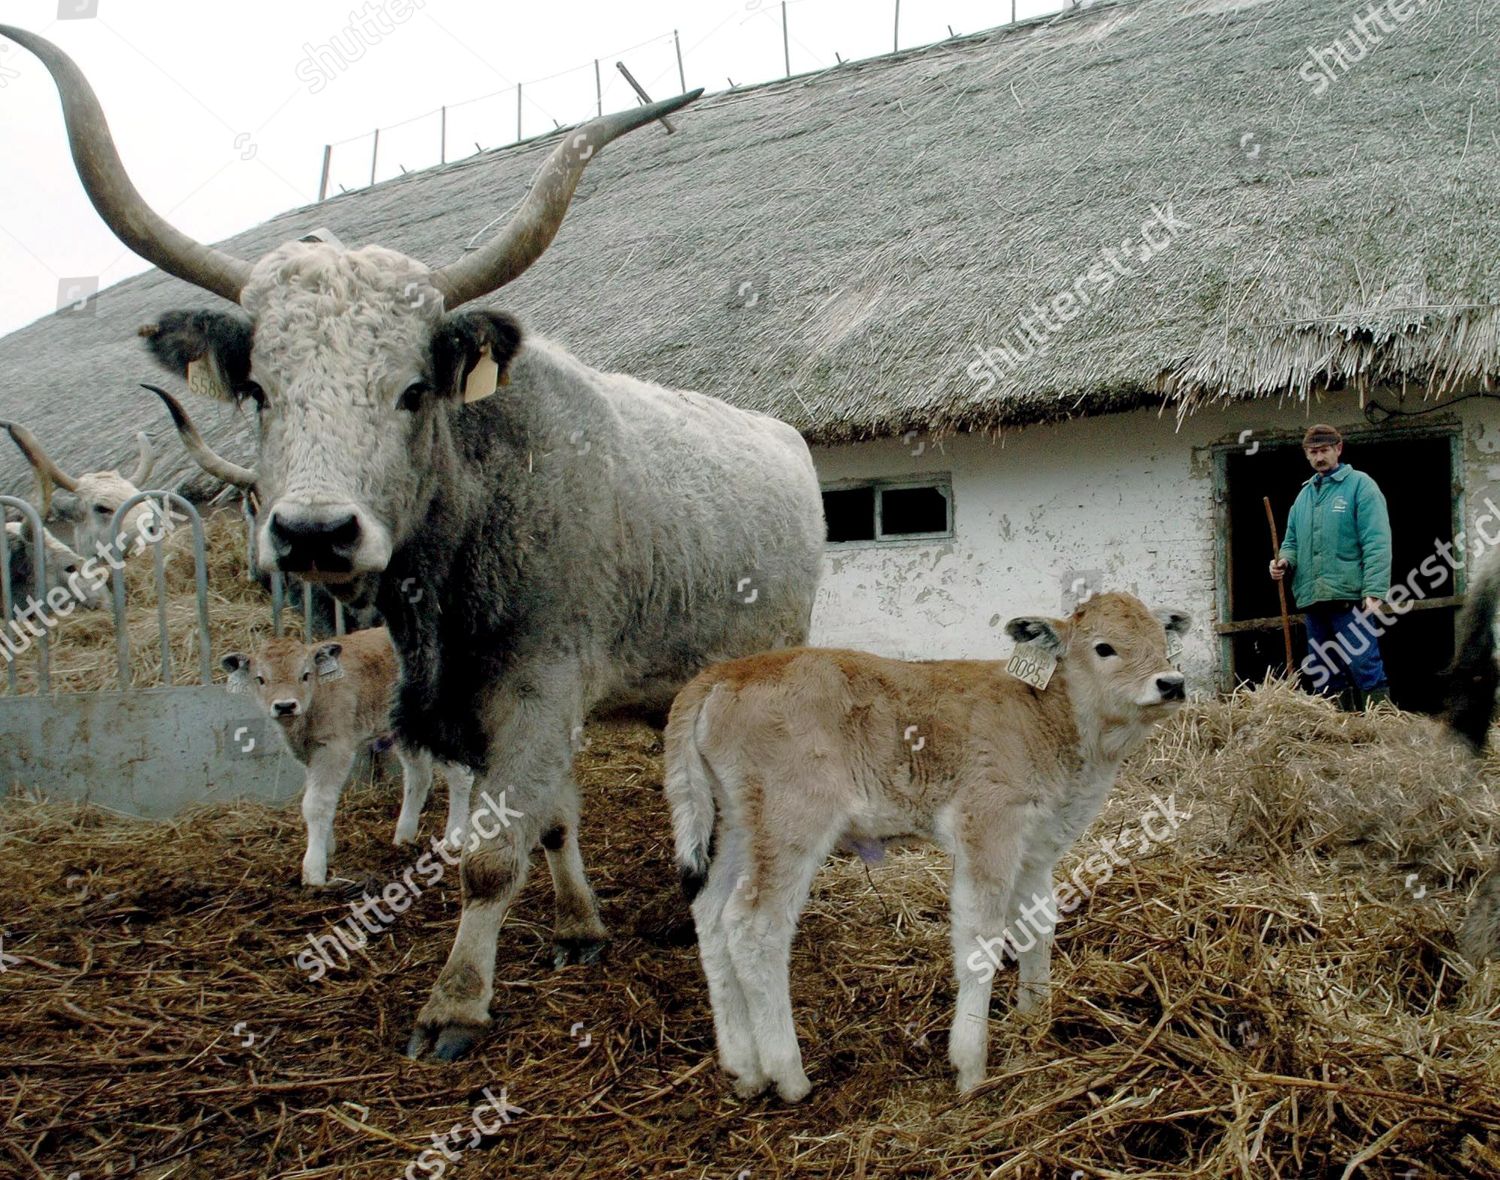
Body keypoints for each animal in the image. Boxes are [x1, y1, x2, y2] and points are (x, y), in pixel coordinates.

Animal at [222, 627, 473, 886]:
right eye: (260, 679)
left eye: (305, 675)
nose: (285, 706)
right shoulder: (308, 753)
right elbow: (318, 797)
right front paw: (327, 847)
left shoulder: (334, 748)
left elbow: (316, 803)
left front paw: (313, 870)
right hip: (405, 731)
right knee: (419, 776)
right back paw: (404, 837)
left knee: (460, 776)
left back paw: (452, 839)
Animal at [663, 592, 1190, 1099]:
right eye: (1104, 647)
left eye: (1163, 641)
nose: (1171, 683)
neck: (1048, 716)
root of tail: (724, 672)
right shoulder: (987, 828)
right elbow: (981, 936)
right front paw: (971, 1064)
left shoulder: (1036, 846)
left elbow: (1039, 924)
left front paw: (1034, 1019)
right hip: (790, 820)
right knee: (754, 926)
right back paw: (788, 1075)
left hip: (738, 825)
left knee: (711, 914)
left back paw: (745, 1069)